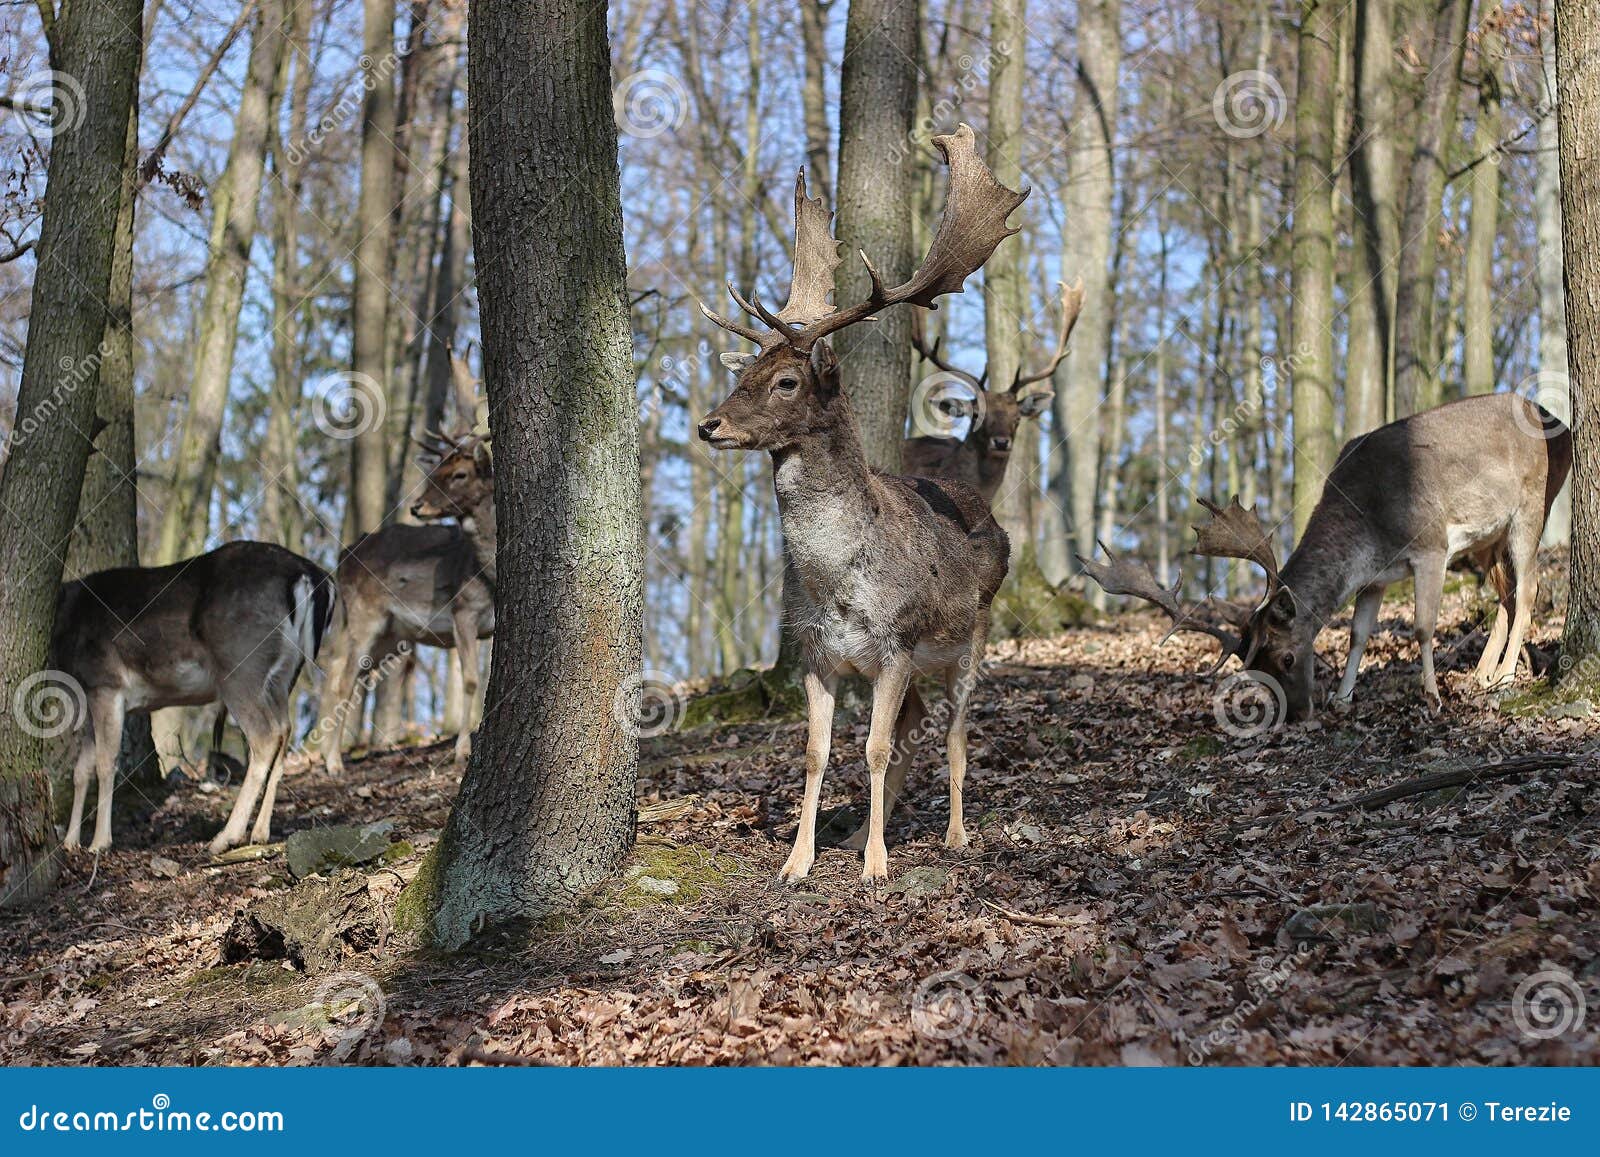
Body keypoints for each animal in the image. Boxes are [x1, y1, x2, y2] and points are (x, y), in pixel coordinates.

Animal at [49, 541, 336, 855]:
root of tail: (311, 575)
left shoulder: (105, 682)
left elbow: (105, 763)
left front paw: (99, 843)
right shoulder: (89, 697)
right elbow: (81, 770)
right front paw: (70, 842)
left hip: (240, 666)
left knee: (266, 736)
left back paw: (225, 837)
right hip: (283, 675)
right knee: (285, 729)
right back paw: (259, 833)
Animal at [319, 430, 495, 774]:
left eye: (459, 474)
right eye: (435, 470)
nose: (417, 506)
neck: (490, 577)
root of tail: (343, 556)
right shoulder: (463, 610)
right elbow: (470, 680)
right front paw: (462, 752)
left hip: (388, 633)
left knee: (338, 669)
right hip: (364, 614)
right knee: (344, 680)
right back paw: (333, 763)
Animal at [695, 123, 1023, 883]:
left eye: (786, 381)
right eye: (745, 373)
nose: (709, 425)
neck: (839, 581)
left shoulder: (897, 643)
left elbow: (872, 748)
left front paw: (876, 867)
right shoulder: (818, 654)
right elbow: (817, 753)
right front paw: (800, 861)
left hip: (972, 634)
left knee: (956, 731)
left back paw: (955, 834)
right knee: (914, 728)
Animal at [1079, 392, 1573, 722]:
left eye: (1286, 659)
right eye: (1250, 665)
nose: (1296, 714)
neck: (1369, 523)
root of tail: (1561, 425)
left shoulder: (1430, 546)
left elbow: (1421, 626)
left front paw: (1432, 700)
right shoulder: (1376, 577)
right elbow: (1357, 633)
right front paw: (1342, 697)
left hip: (1533, 505)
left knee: (1529, 587)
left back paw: (1504, 675)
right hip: (1488, 539)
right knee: (1506, 593)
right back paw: (1484, 673)